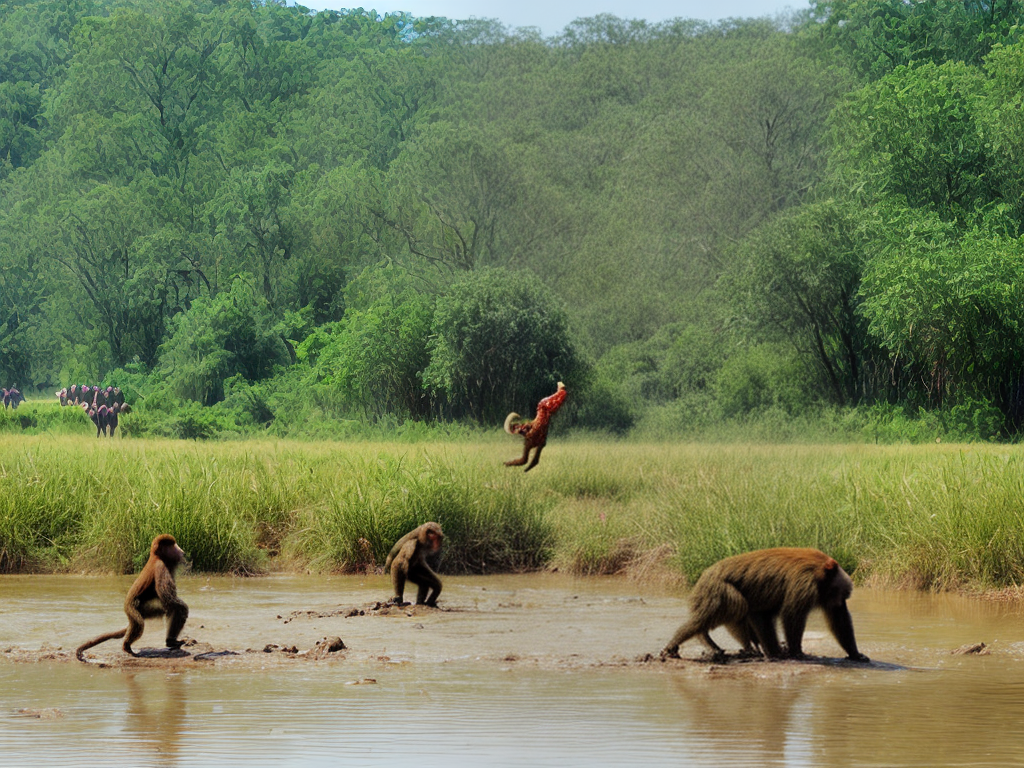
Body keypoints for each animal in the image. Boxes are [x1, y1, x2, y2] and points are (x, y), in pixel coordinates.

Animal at [661, 548, 869, 662]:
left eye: (843, 598)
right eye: (839, 594)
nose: (840, 602)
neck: (820, 573)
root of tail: (704, 574)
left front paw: (854, 653)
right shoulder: (805, 584)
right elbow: (792, 615)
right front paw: (795, 651)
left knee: (744, 612)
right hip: (716, 589)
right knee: (736, 606)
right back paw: (678, 640)